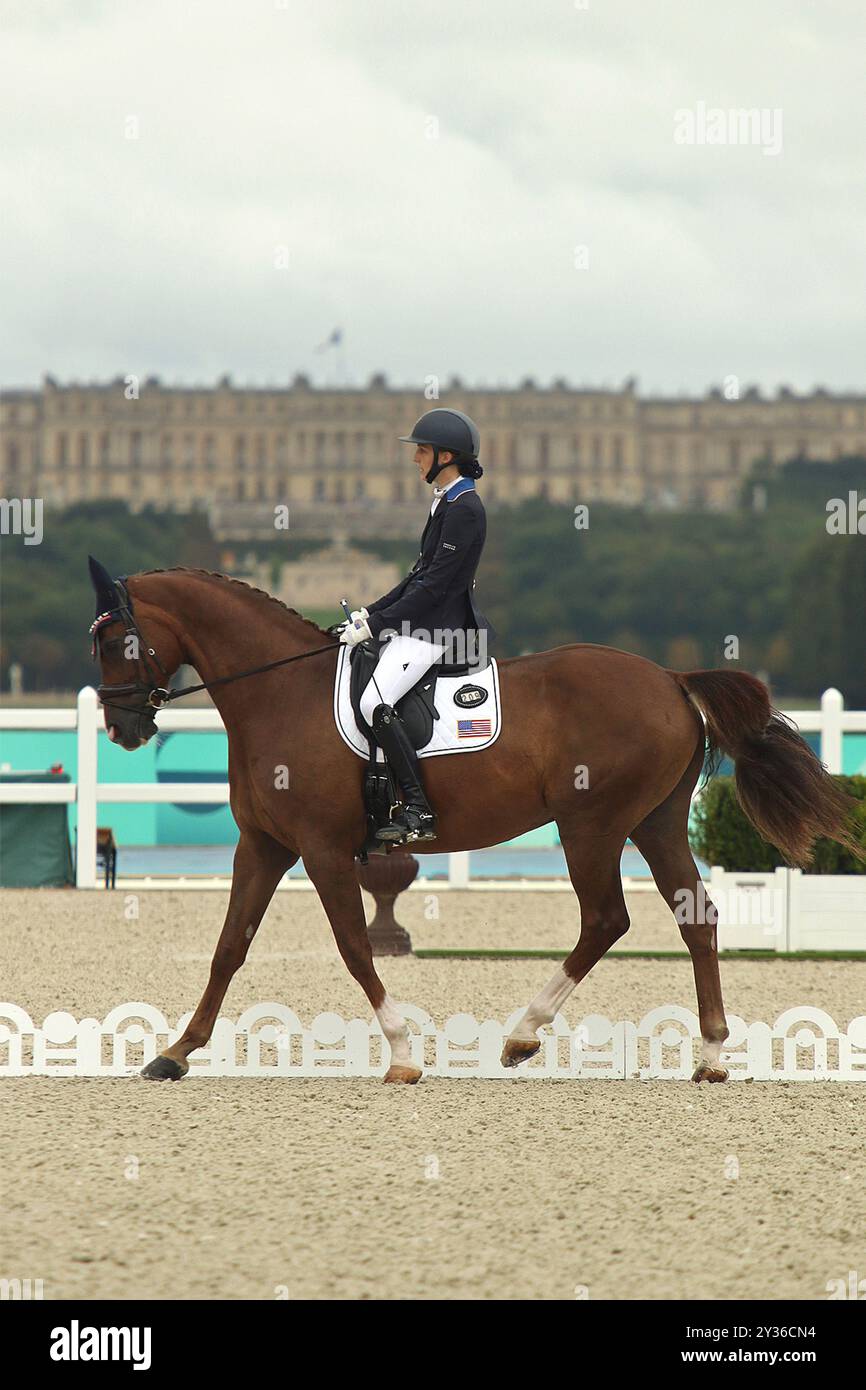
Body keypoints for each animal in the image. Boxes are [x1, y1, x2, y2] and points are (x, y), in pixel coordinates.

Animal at [86, 557, 857, 1085]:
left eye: (118, 641)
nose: (123, 729)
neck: (279, 691)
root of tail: (670, 679)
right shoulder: (264, 846)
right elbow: (229, 948)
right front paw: (175, 1053)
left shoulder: (323, 849)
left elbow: (354, 947)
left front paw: (402, 1055)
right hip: (656, 823)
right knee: (695, 917)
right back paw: (710, 1055)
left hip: (592, 825)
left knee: (607, 919)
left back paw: (523, 1035)